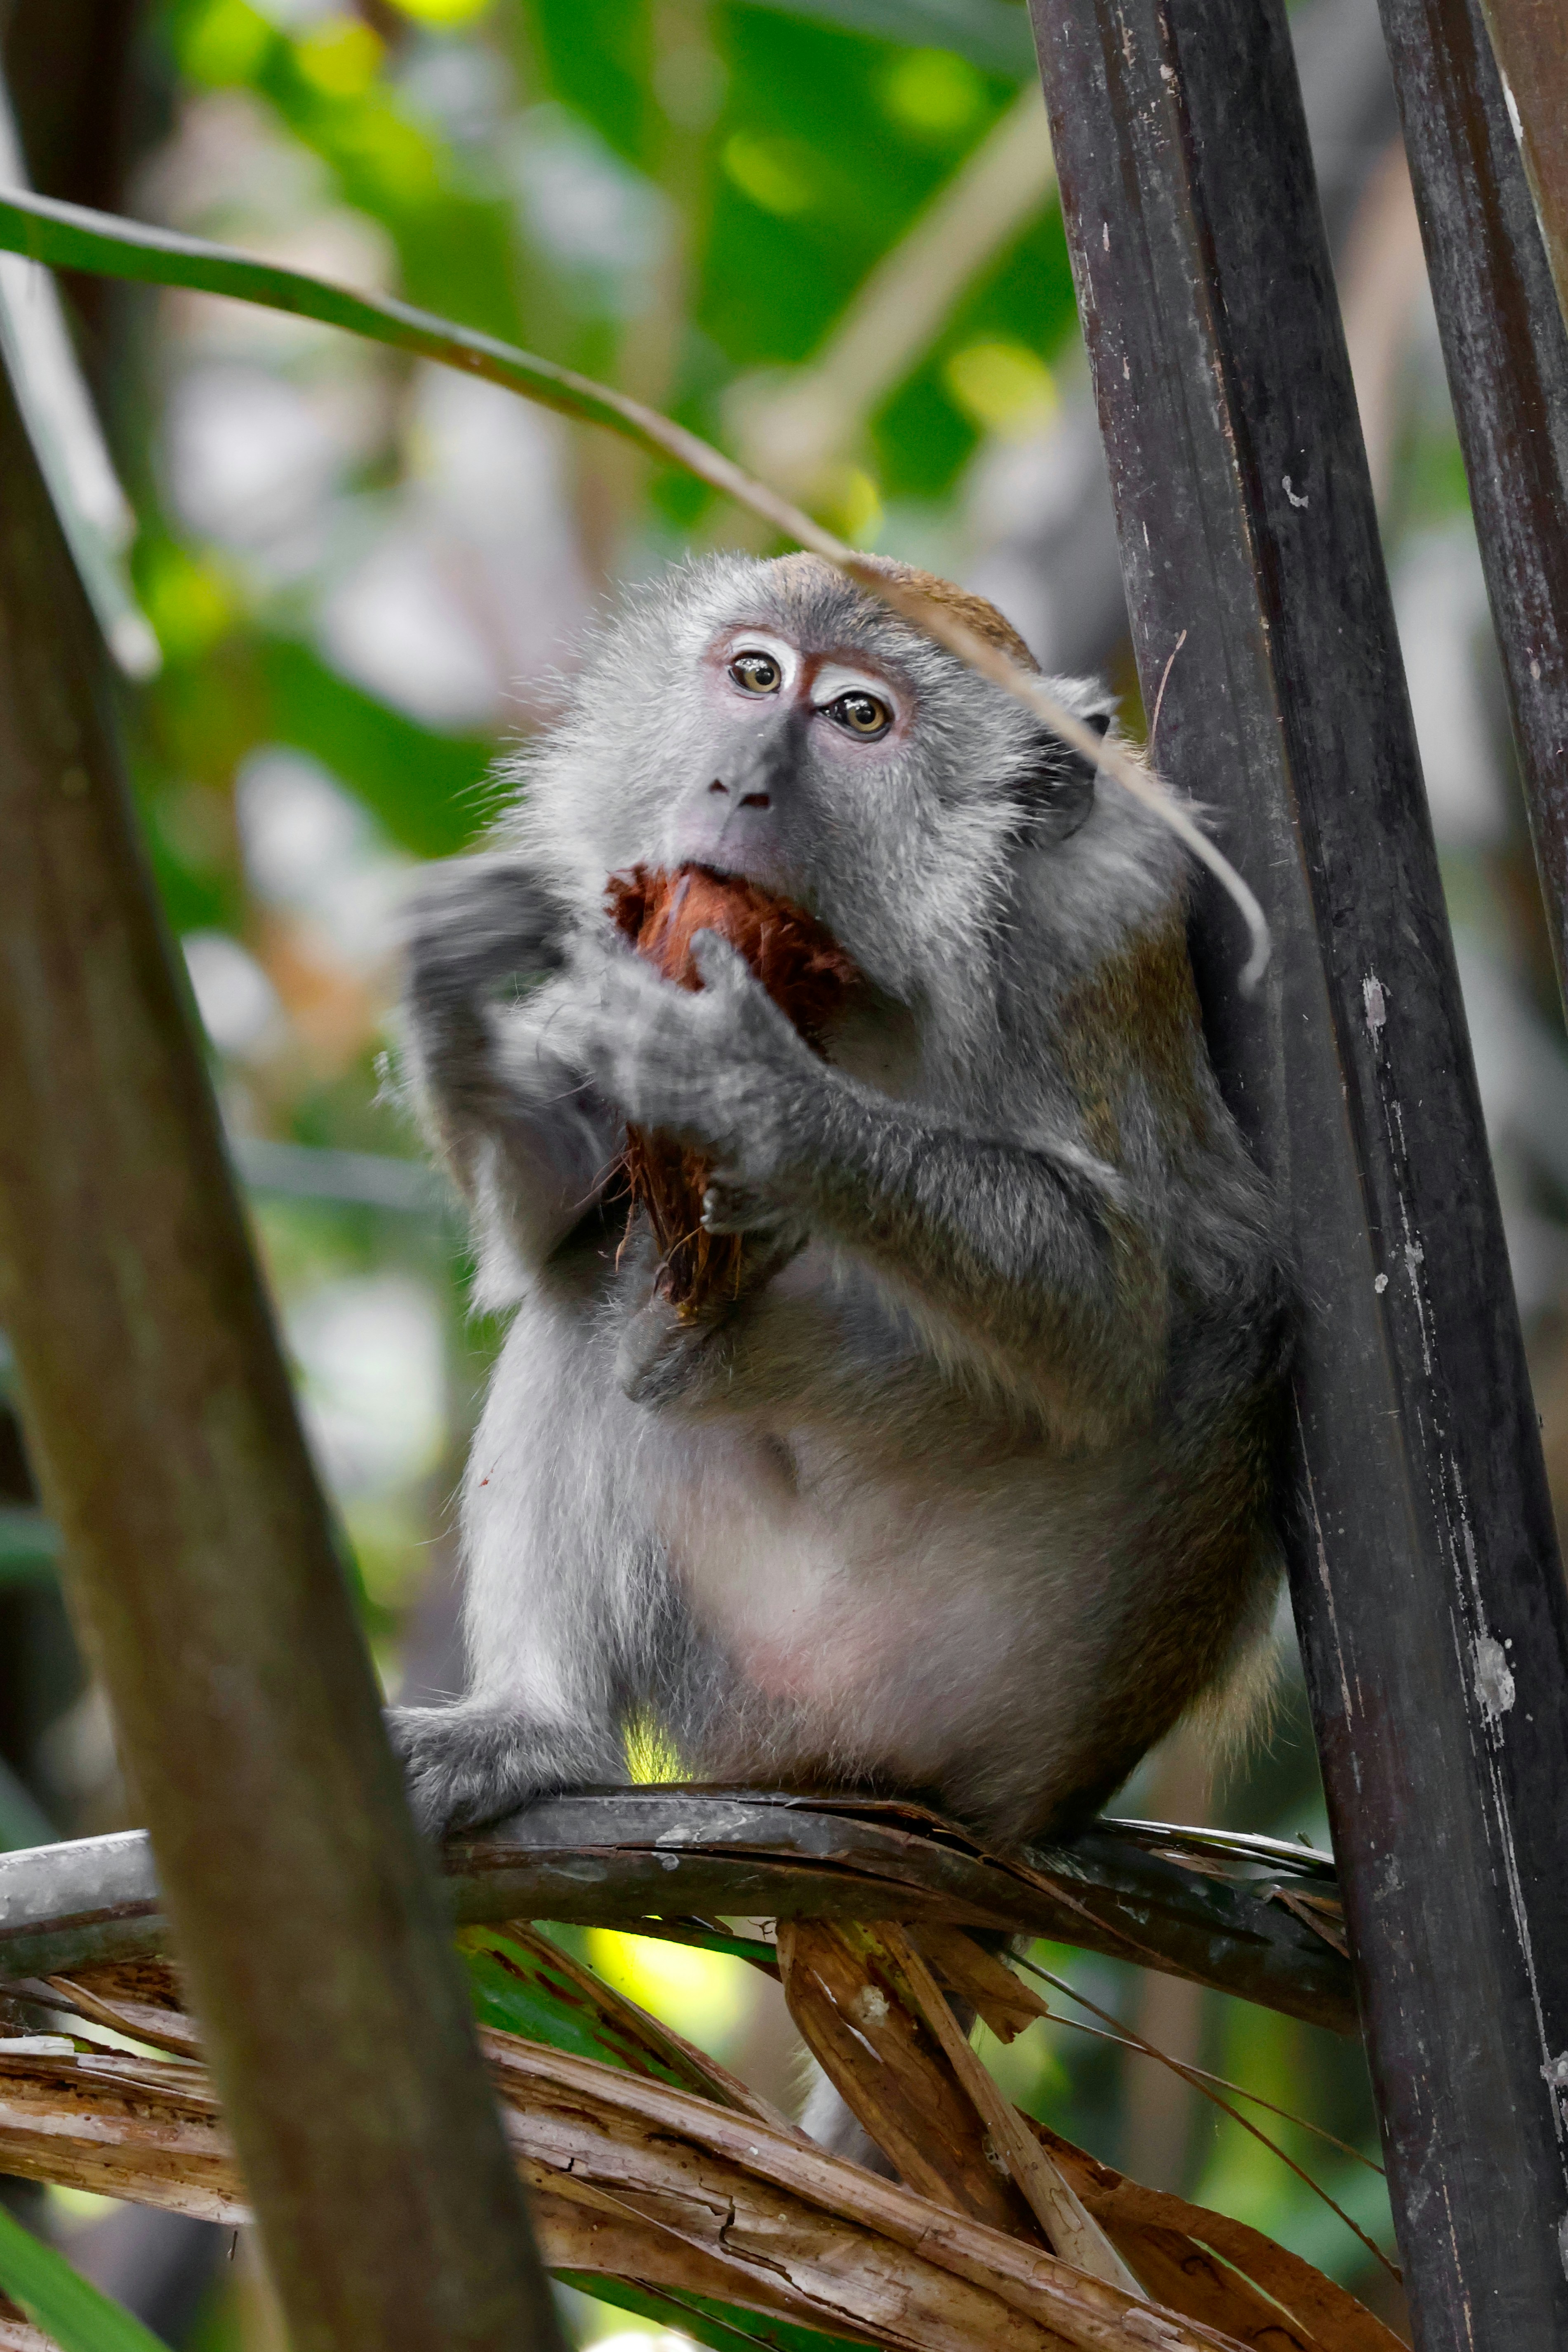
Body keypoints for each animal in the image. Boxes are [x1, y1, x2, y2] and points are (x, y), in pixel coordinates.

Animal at [388, 549, 1291, 1866]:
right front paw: (452, 973)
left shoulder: (1097, 932)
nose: (735, 781)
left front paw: (752, 1086)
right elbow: (548, 1222)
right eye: (756, 675)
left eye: (858, 714)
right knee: (582, 1281)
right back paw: (540, 1724)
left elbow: (1115, 1324)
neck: (864, 975)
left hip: (970, 1688)